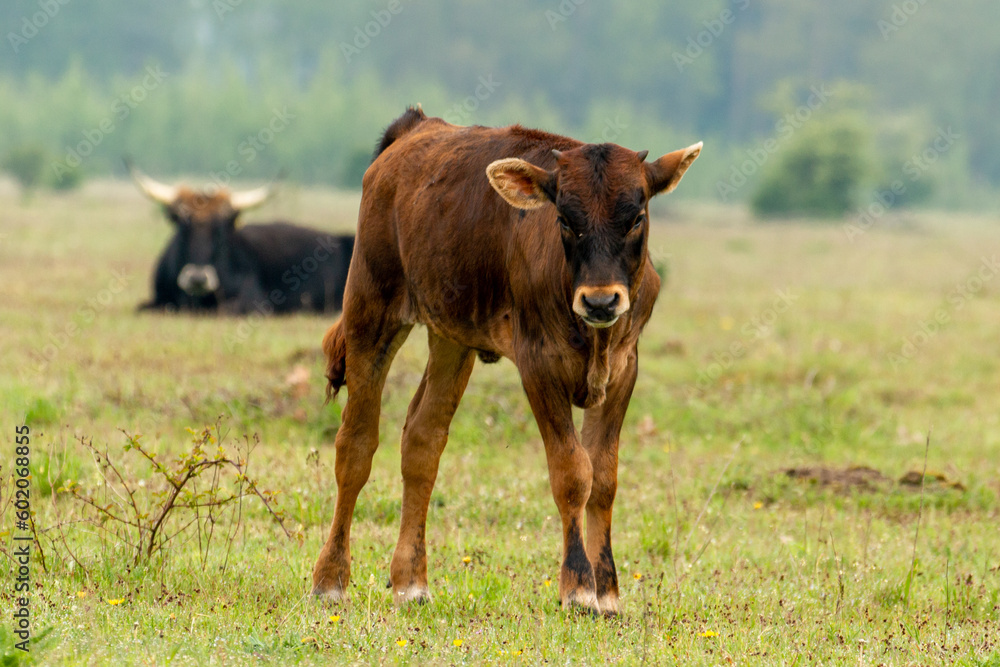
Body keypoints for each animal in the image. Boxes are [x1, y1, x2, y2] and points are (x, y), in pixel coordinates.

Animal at [129, 163, 354, 314]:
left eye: (220, 230)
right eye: (183, 226)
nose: (198, 278)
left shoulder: (253, 302)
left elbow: (225, 309)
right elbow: (146, 307)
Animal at [311, 107, 701, 615]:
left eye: (636, 217)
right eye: (565, 220)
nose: (600, 301)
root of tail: (418, 126)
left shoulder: (624, 367)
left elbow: (604, 477)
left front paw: (609, 591)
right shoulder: (539, 364)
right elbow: (572, 472)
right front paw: (578, 587)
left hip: (451, 335)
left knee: (422, 441)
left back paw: (411, 581)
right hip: (370, 308)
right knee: (355, 445)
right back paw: (330, 579)